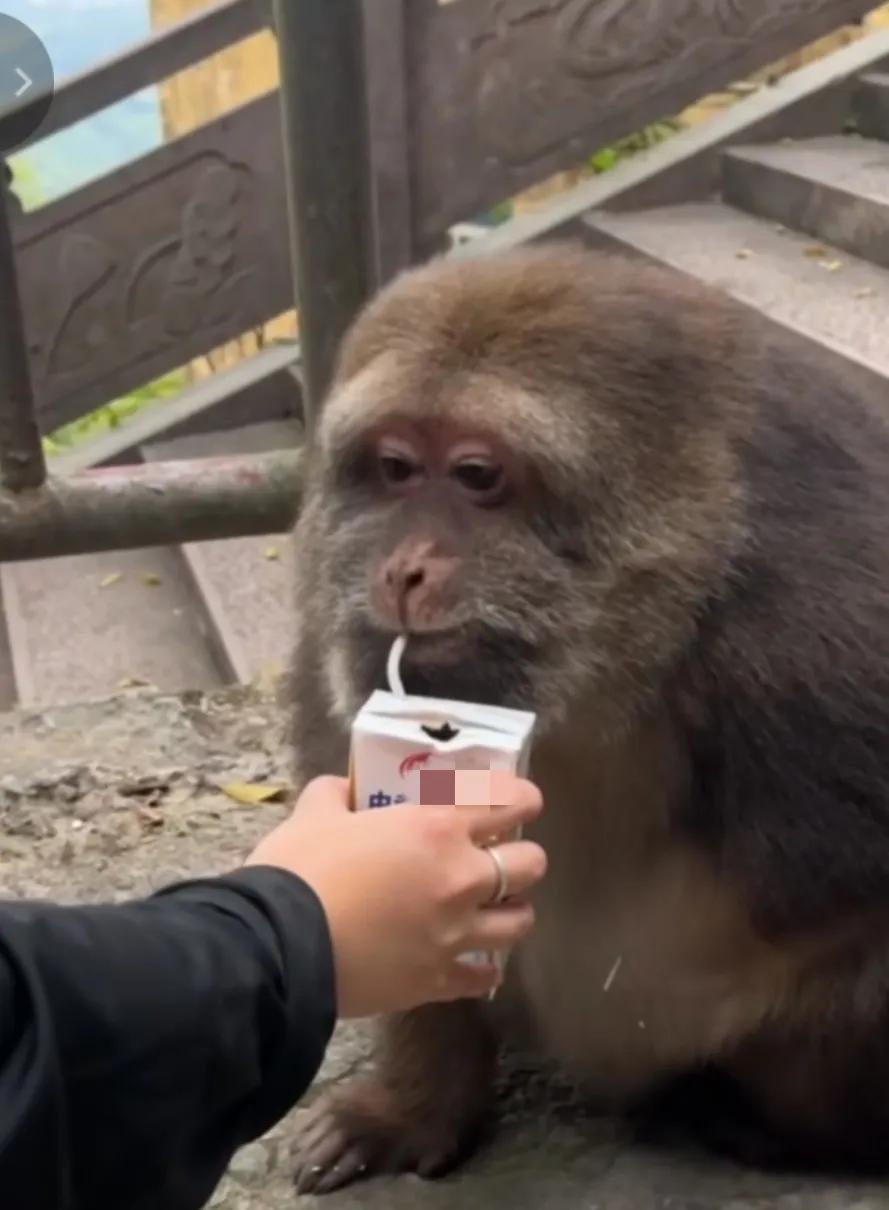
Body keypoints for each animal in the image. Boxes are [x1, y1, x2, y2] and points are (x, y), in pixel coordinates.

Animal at [286, 241, 889, 1192]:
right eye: (395, 468)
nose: (403, 570)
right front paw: (413, 1107)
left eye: (476, 476)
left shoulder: (814, 629)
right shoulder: (334, 626)